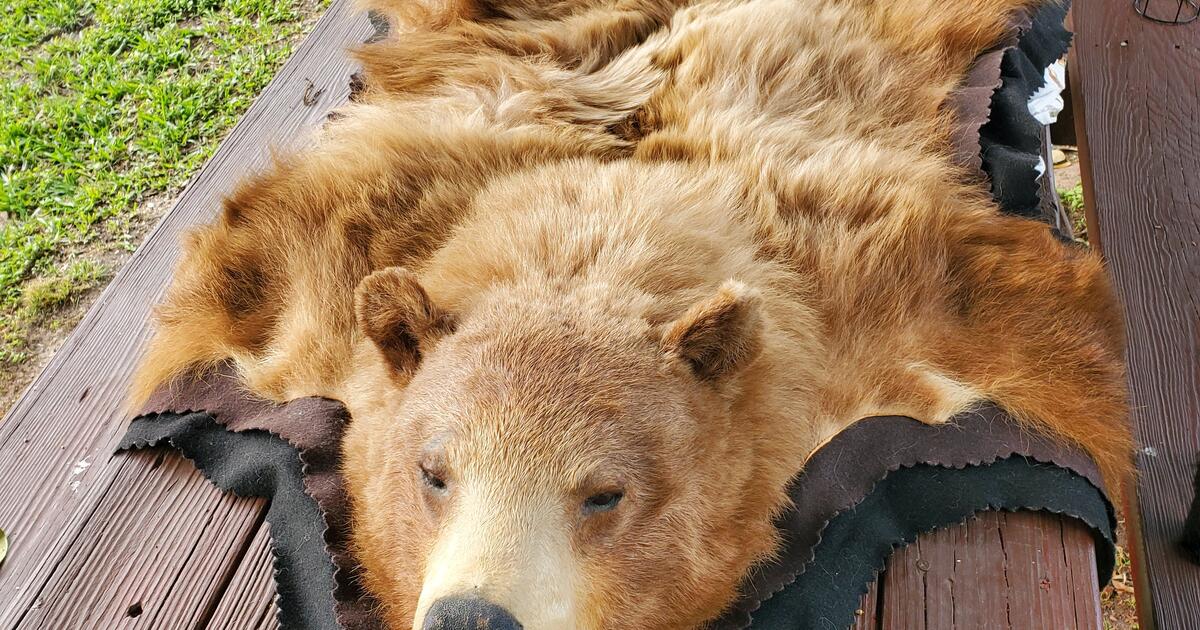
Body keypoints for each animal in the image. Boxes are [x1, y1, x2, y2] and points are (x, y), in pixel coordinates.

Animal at [130, 0, 1132, 627]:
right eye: (432, 473)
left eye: (603, 494)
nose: (471, 619)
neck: (599, 232)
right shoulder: (328, 276)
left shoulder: (897, 309)